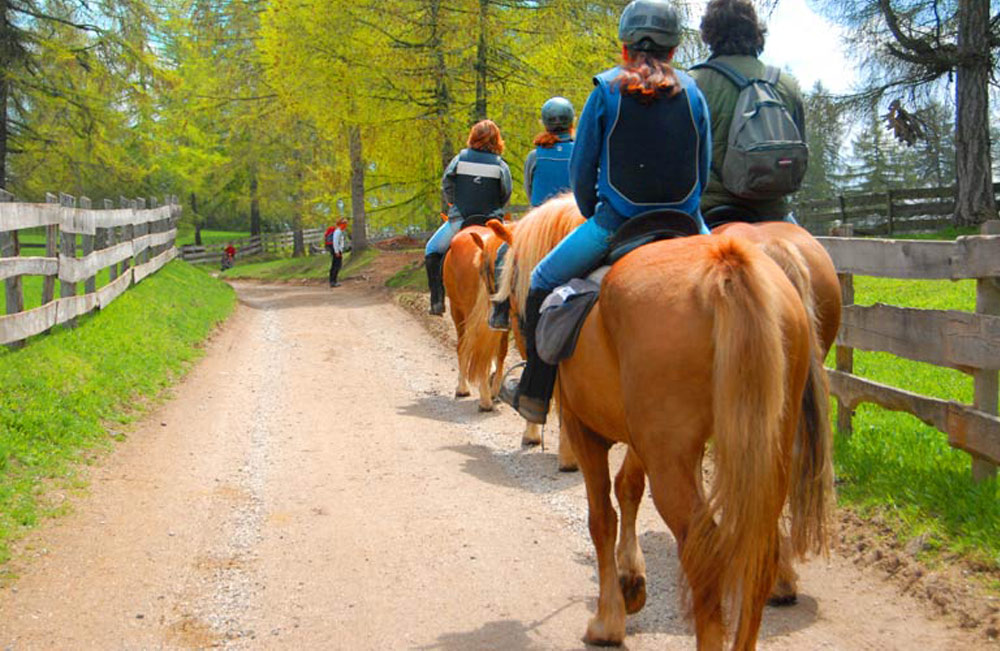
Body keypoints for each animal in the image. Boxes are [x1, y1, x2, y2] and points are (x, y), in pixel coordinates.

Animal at [490, 202, 828, 648]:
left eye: (511, 277)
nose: (511, 323)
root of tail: (726, 267)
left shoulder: (585, 431)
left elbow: (602, 518)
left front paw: (608, 621)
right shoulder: (642, 440)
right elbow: (628, 488)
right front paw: (631, 580)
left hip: (671, 459)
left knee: (705, 555)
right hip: (766, 451)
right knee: (759, 551)